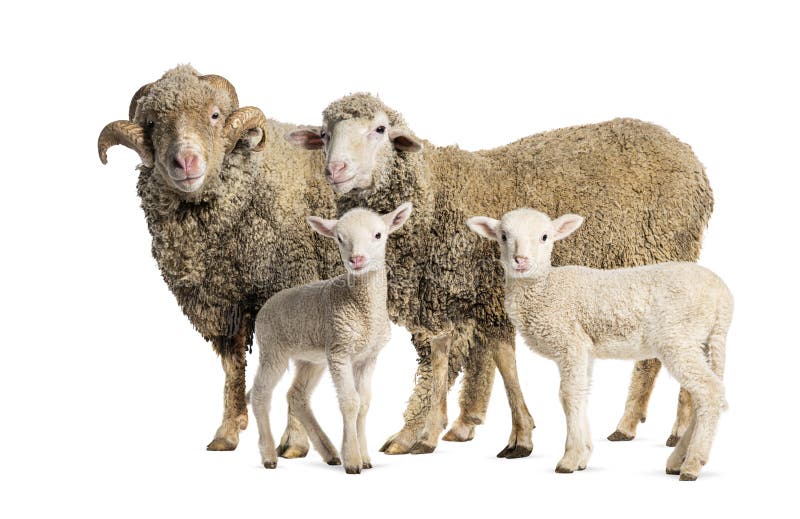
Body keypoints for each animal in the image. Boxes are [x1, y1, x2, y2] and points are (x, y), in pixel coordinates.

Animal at [97, 65, 342, 452]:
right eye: (151, 123)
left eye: (214, 115)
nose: (186, 161)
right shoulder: (221, 302)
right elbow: (231, 364)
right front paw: (228, 430)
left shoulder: (296, 283)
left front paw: (293, 441)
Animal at [251, 203, 412, 474]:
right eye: (339, 238)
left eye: (378, 235)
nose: (356, 259)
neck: (362, 307)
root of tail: (266, 305)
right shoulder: (340, 350)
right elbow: (350, 402)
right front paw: (353, 460)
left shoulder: (367, 357)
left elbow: (364, 403)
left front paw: (364, 457)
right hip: (273, 347)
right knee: (260, 393)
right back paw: (269, 456)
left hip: (311, 358)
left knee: (297, 396)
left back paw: (329, 452)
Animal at [285, 93, 714, 457]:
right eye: (325, 133)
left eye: (379, 129)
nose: (335, 169)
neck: (432, 199)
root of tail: (685, 152)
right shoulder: (444, 297)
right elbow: (443, 360)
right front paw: (424, 433)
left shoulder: (490, 295)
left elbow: (500, 360)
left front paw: (518, 436)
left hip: (665, 252)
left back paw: (661, 426)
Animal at [467, 208, 732, 480]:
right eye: (503, 236)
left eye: (544, 237)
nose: (521, 260)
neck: (545, 289)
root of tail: (723, 297)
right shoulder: (584, 349)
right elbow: (582, 394)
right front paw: (584, 456)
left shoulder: (570, 341)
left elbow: (568, 395)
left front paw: (569, 459)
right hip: (700, 341)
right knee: (707, 395)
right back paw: (678, 460)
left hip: (678, 338)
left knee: (709, 391)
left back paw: (692, 465)